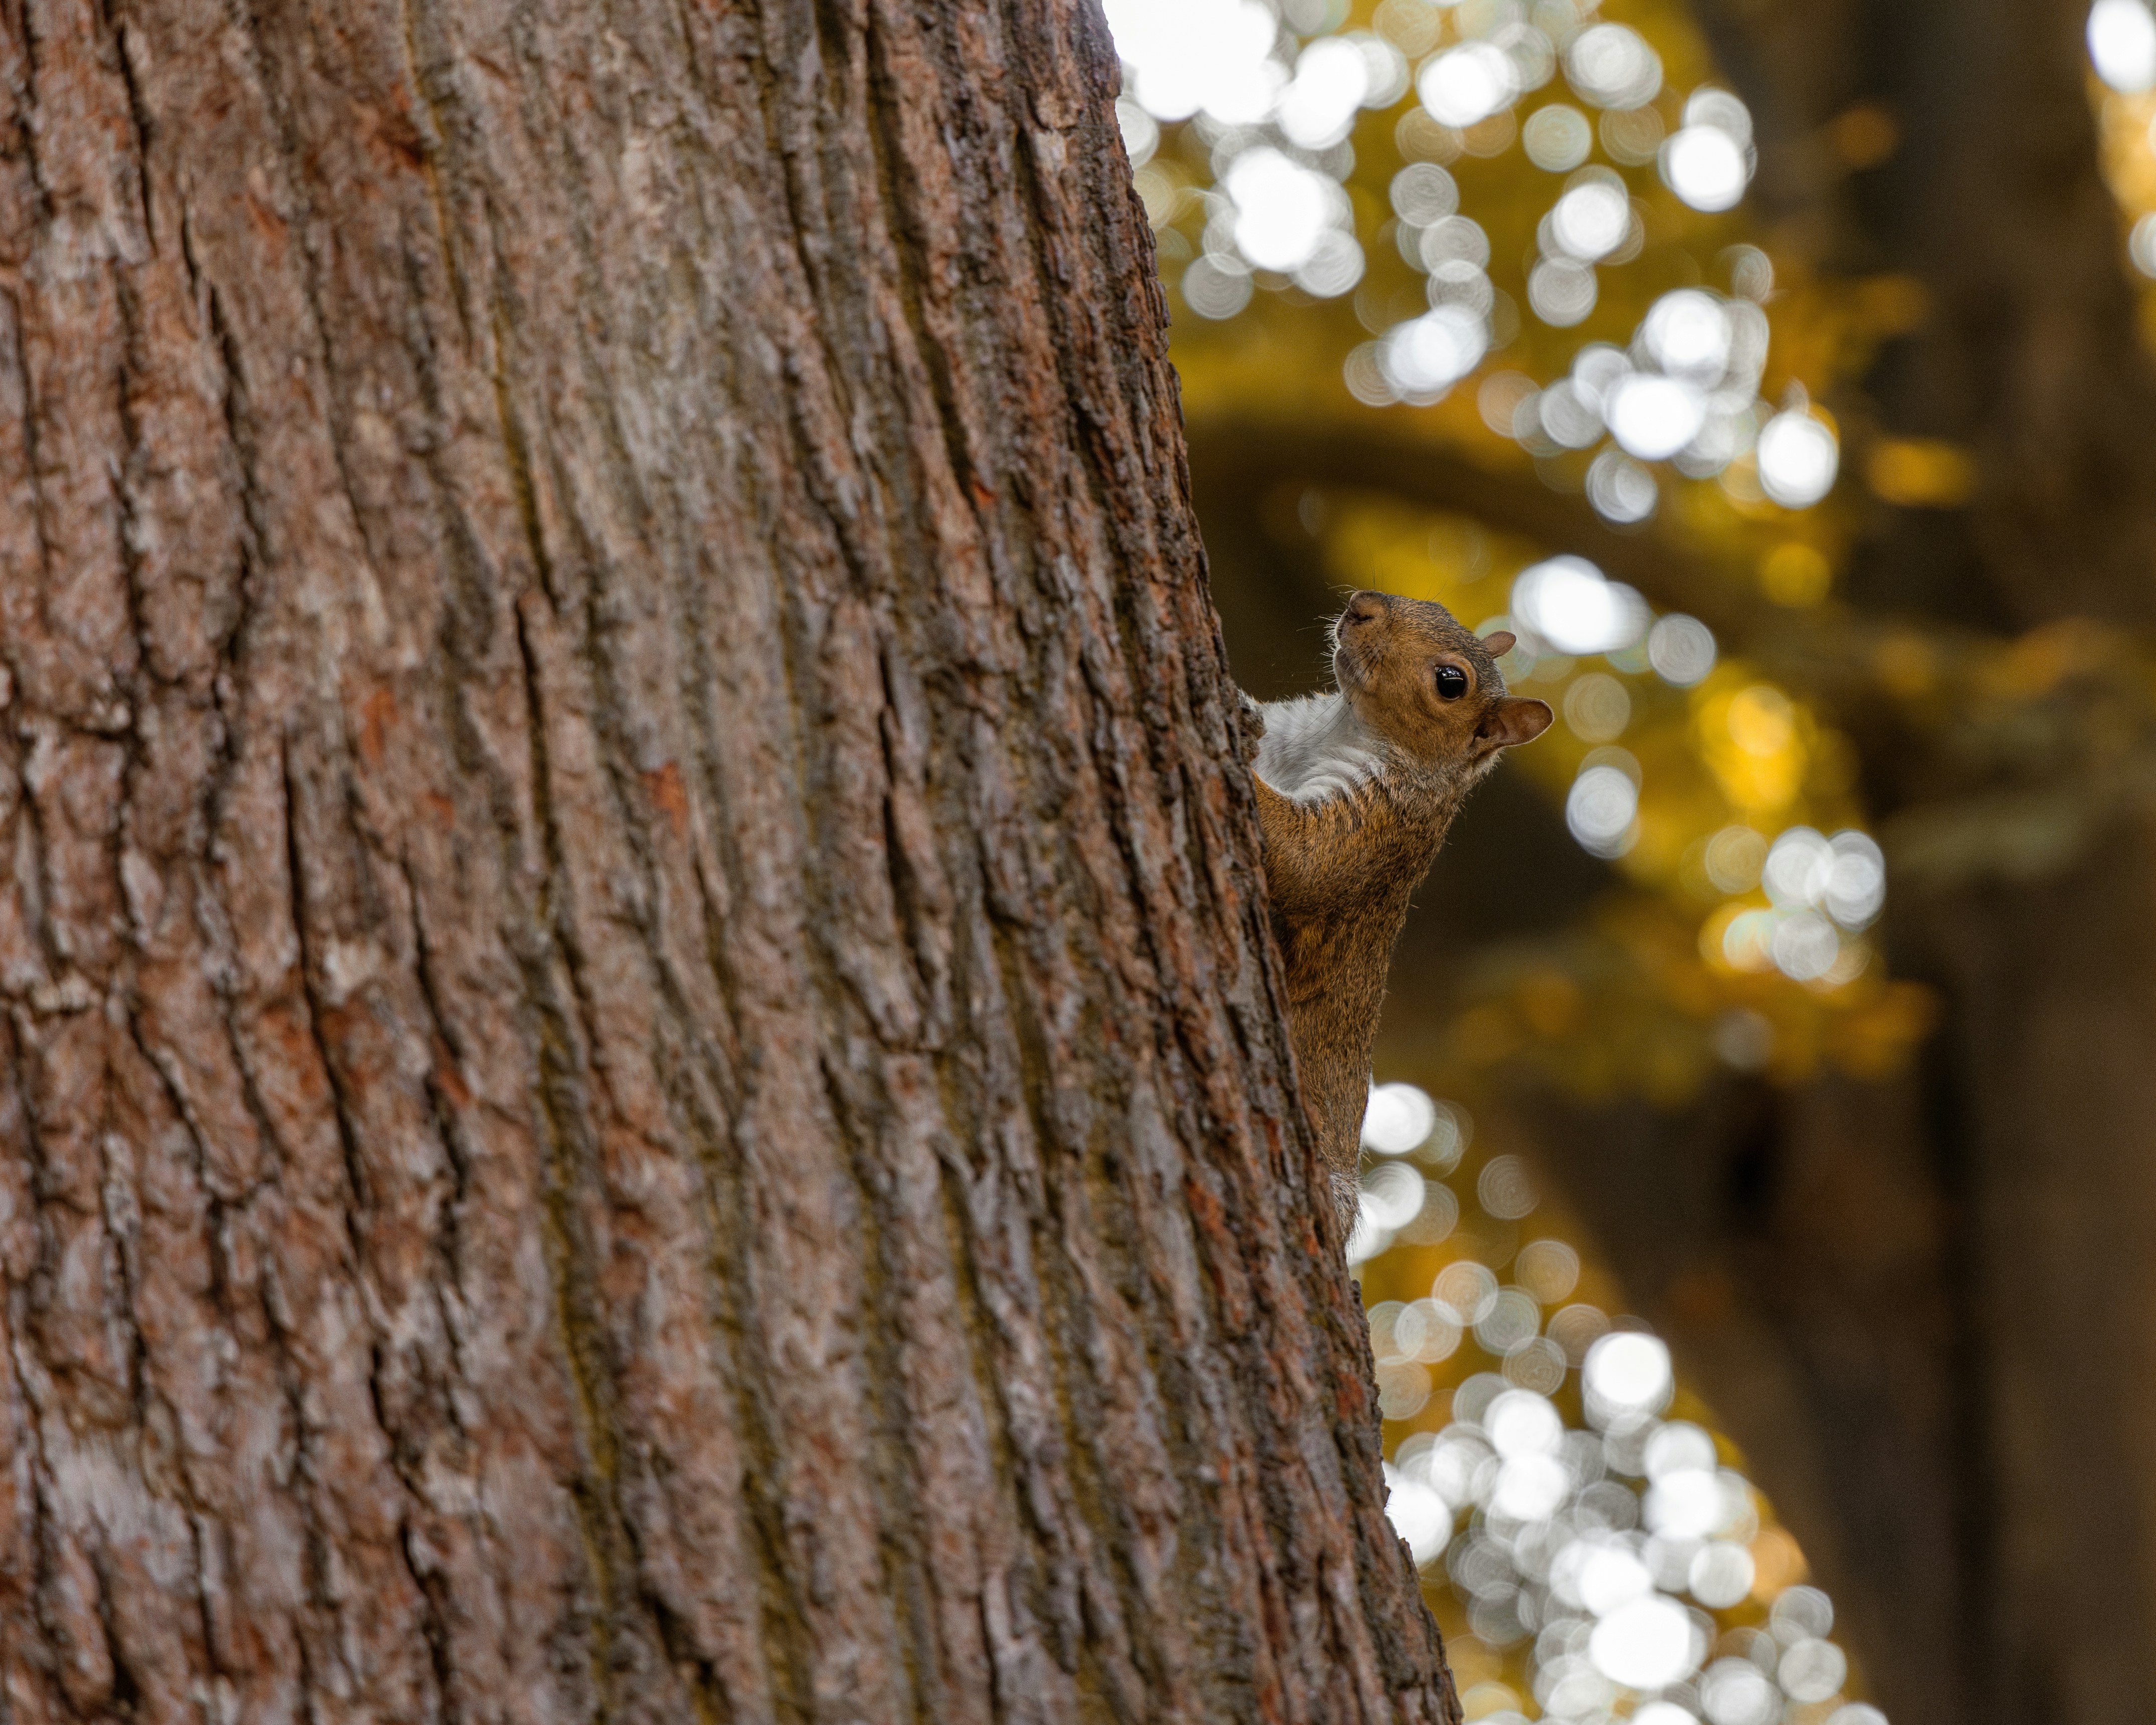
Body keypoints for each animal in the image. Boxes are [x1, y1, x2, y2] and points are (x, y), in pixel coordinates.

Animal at [1240, 589, 1552, 1227]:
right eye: (1434, 604)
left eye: (1450, 682)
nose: (1362, 605)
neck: (1343, 725)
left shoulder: (1381, 819)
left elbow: (1306, 859)